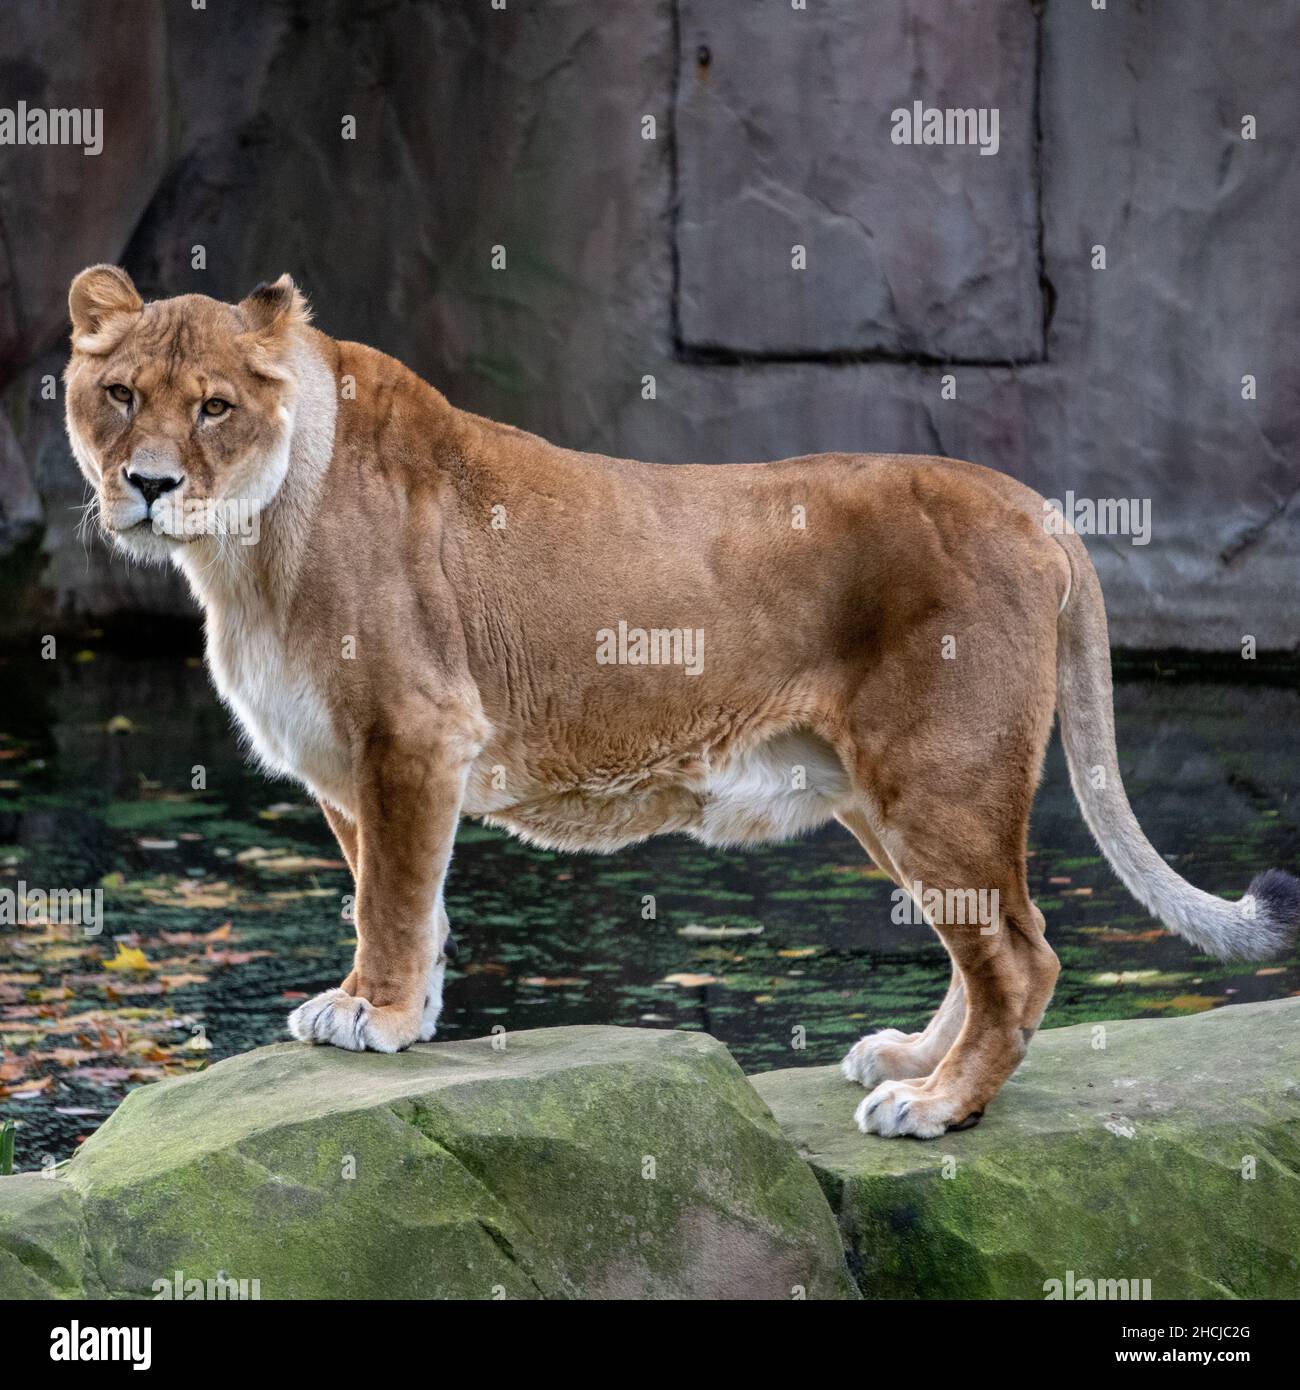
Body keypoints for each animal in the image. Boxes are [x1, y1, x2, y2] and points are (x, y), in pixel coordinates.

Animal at [63, 265, 1299, 1139]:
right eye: (119, 396)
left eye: (213, 408)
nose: (149, 486)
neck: (246, 549)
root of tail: (1033, 505)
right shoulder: (352, 765)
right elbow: (394, 890)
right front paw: (394, 1008)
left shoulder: (414, 732)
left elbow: (393, 899)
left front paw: (379, 1015)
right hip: (881, 798)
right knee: (990, 942)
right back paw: (912, 1060)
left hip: (938, 777)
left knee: (1024, 955)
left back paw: (936, 1107)